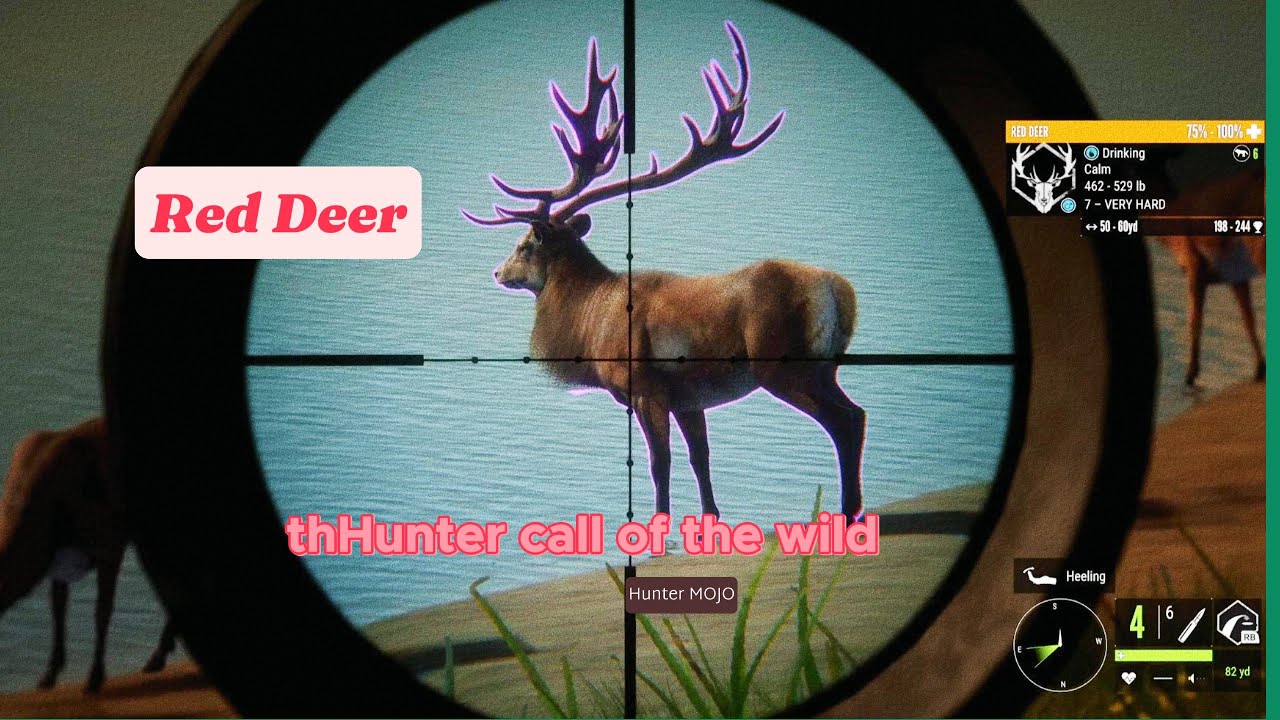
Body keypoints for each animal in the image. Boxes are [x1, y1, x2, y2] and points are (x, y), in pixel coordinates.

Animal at [0, 417, 178, 693]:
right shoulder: (60, 560)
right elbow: (59, 610)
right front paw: (50, 673)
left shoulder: (110, 545)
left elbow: (101, 611)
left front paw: (95, 676)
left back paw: (159, 653)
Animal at [462, 22, 867, 522]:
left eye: (523, 245)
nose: (498, 272)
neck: (592, 324)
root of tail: (839, 291)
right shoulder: (688, 397)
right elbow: (701, 457)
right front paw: (710, 518)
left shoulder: (647, 387)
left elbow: (660, 462)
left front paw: (658, 522)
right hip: (827, 366)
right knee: (855, 414)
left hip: (783, 364)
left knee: (847, 420)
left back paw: (849, 513)